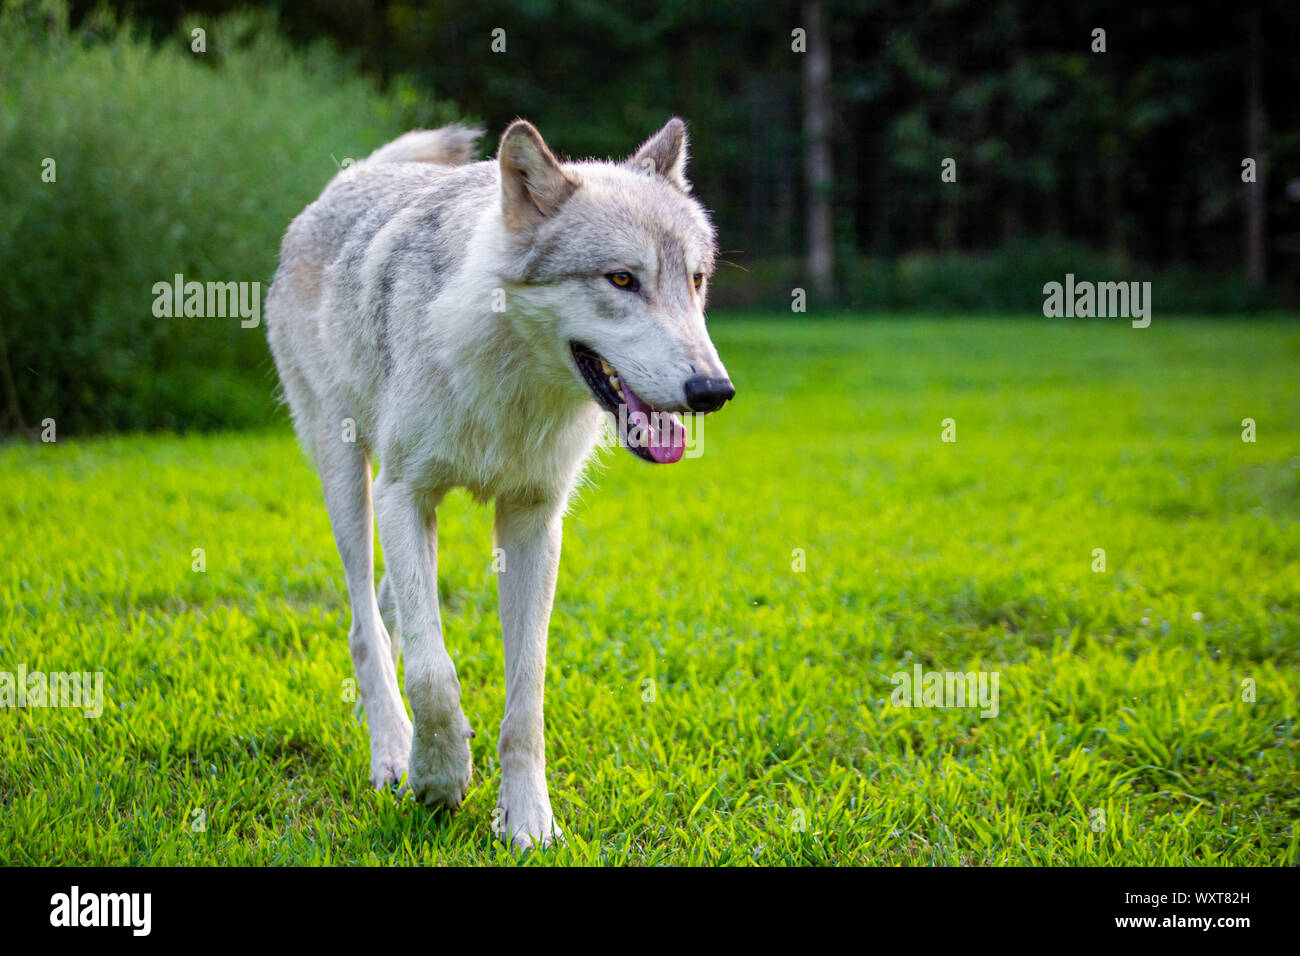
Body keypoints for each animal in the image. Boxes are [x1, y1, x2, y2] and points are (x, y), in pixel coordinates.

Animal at [265, 118, 735, 849]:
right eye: (622, 279)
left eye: (697, 280)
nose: (713, 391)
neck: (512, 378)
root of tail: (353, 177)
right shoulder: (405, 495)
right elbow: (433, 672)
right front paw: (438, 778)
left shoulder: (532, 522)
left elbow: (525, 696)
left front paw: (528, 820)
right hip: (350, 485)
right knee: (366, 630)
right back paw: (392, 754)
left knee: (390, 610)